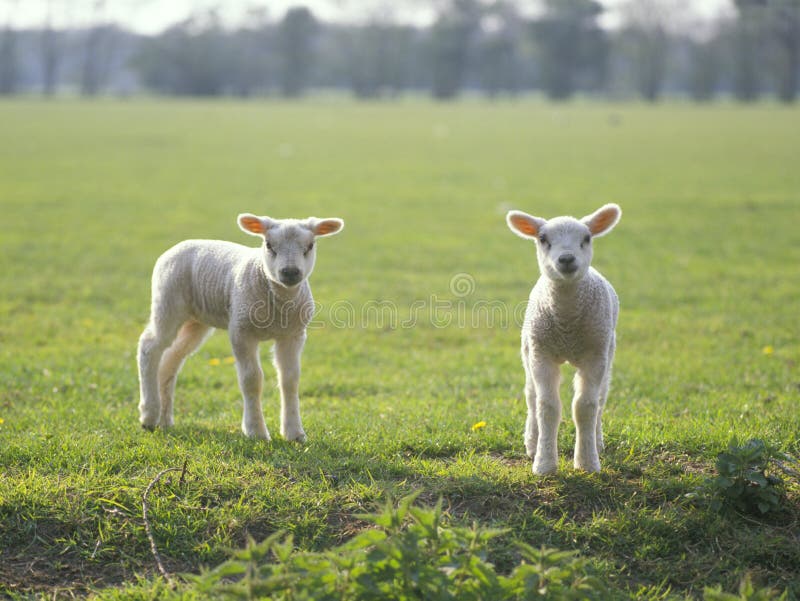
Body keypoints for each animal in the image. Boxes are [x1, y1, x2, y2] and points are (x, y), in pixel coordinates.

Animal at [137, 213, 344, 442]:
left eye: (310, 245)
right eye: (268, 244)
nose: (290, 272)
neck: (279, 306)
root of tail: (178, 246)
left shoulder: (293, 335)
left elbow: (290, 379)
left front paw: (294, 433)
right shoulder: (241, 331)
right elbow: (252, 379)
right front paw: (256, 431)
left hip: (196, 321)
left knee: (171, 359)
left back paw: (164, 419)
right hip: (167, 302)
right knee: (149, 347)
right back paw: (149, 415)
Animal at [505, 204, 621, 475]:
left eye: (587, 238)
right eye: (542, 238)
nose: (567, 259)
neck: (568, 324)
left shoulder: (595, 356)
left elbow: (585, 407)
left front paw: (587, 462)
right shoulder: (542, 354)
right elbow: (547, 407)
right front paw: (544, 463)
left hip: (607, 349)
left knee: (601, 397)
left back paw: (597, 441)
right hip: (529, 349)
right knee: (531, 397)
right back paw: (532, 443)